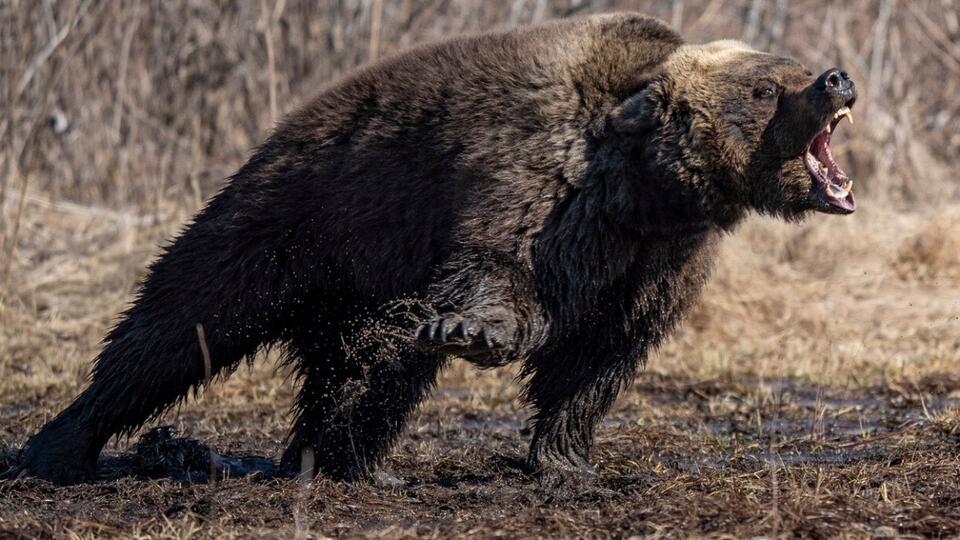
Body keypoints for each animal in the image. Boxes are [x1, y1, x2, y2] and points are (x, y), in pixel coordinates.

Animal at [17, 13, 857, 485]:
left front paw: (571, 461)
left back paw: (338, 458)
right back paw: (60, 447)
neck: (645, 189)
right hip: (294, 220)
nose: (836, 79)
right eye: (765, 88)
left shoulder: (660, 257)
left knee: (368, 365)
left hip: (359, 274)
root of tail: (282, 129)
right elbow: (497, 274)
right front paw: (474, 332)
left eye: (789, 69)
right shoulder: (533, 182)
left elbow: (601, 355)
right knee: (180, 323)